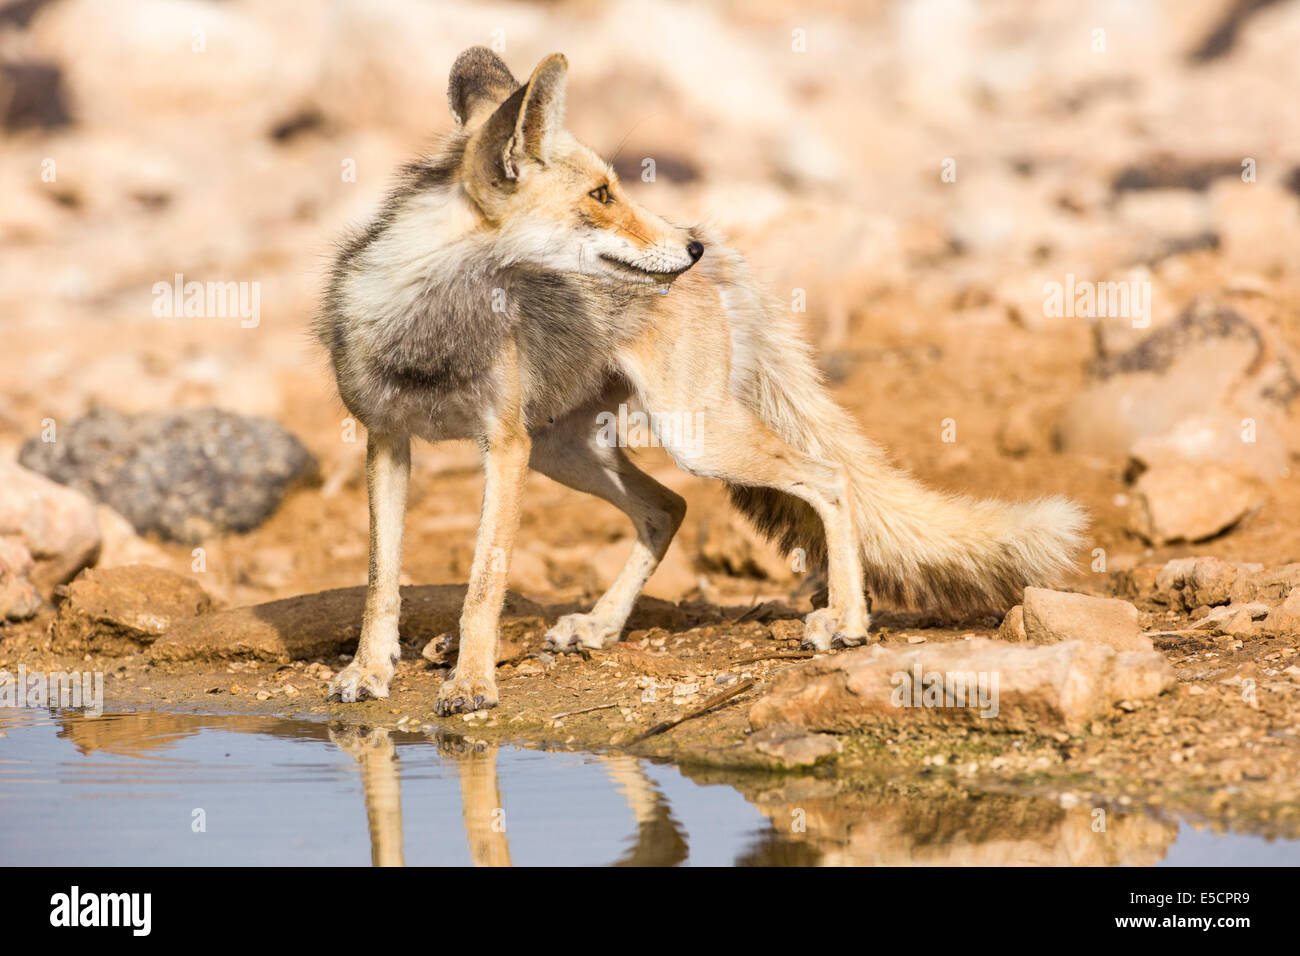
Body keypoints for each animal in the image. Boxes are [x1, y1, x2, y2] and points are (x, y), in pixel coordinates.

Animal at [317, 47, 1085, 716]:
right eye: (602, 193)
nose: (689, 246)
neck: (429, 331)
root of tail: (723, 253)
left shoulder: (502, 446)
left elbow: (485, 580)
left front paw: (472, 684)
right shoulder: (387, 438)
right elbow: (381, 581)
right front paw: (369, 671)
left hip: (690, 439)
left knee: (828, 475)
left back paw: (845, 620)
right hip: (567, 449)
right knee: (668, 508)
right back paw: (601, 626)